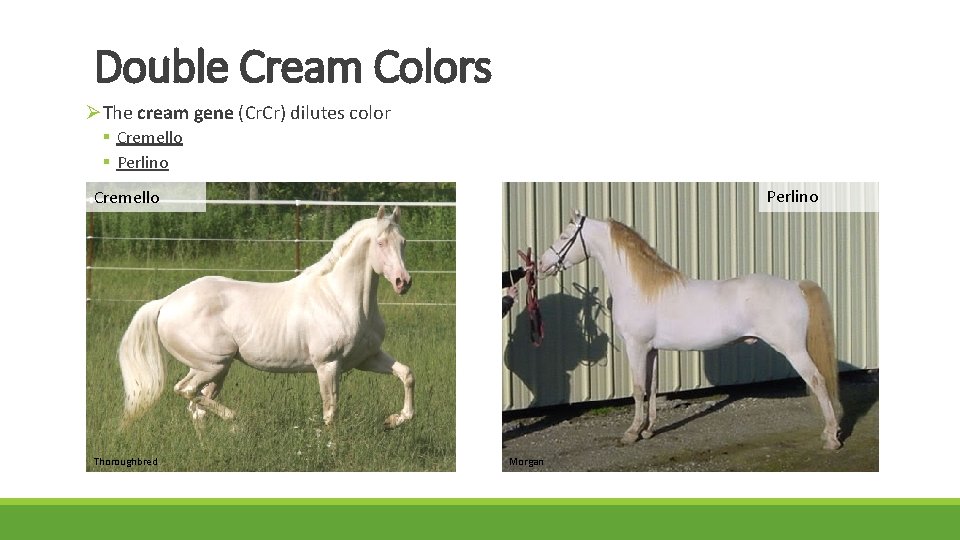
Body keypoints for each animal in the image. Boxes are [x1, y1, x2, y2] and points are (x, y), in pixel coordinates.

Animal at [117, 205, 415, 431]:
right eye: (380, 242)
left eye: (403, 243)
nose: (403, 282)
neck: (339, 298)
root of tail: (166, 302)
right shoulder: (328, 365)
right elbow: (331, 413)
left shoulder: (367, 358)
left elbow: (407, 375)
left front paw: (394, 420)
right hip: (211, 365)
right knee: (186, 391)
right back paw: (233, 419)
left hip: (215, 368)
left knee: (197, 405)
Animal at [538, 210, 842, 450]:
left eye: (565, 236)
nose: (542, 264)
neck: (640, 288)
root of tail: (795, 286)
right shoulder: (652, 350)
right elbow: (652, 388)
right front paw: (648, 430)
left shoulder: (636, 346)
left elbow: (638, 389)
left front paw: (631, 433)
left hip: (793, 350)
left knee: (817, 380)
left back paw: (830, 437)